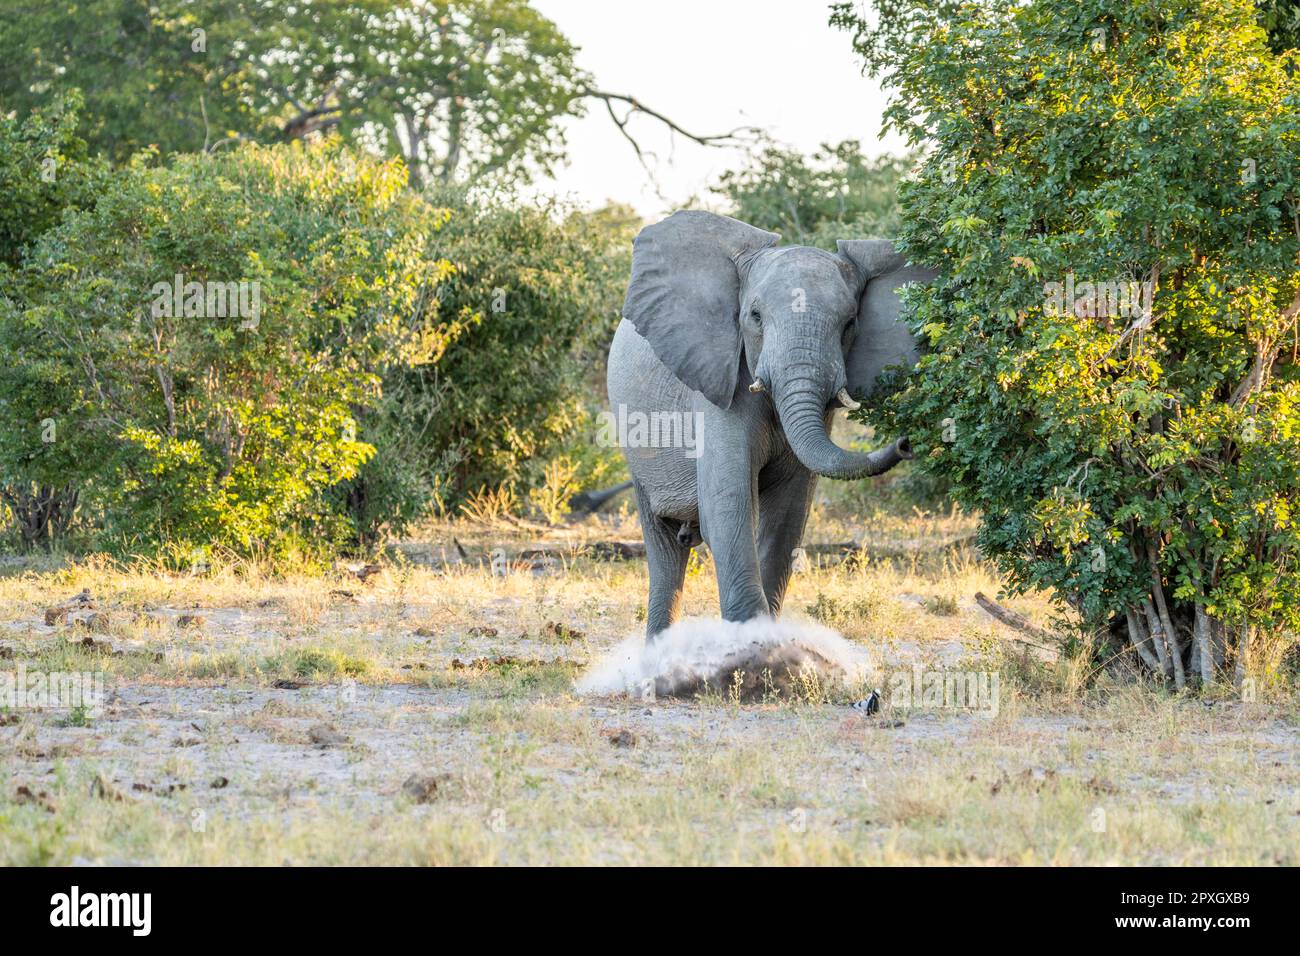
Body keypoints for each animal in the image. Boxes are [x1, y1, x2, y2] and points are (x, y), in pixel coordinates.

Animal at [606, 210, 937, 640]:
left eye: (850, 323)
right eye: (755, 317)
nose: (906, 442)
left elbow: (787, 519)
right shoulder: (719, 384)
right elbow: (729, 508)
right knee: (665, 548)